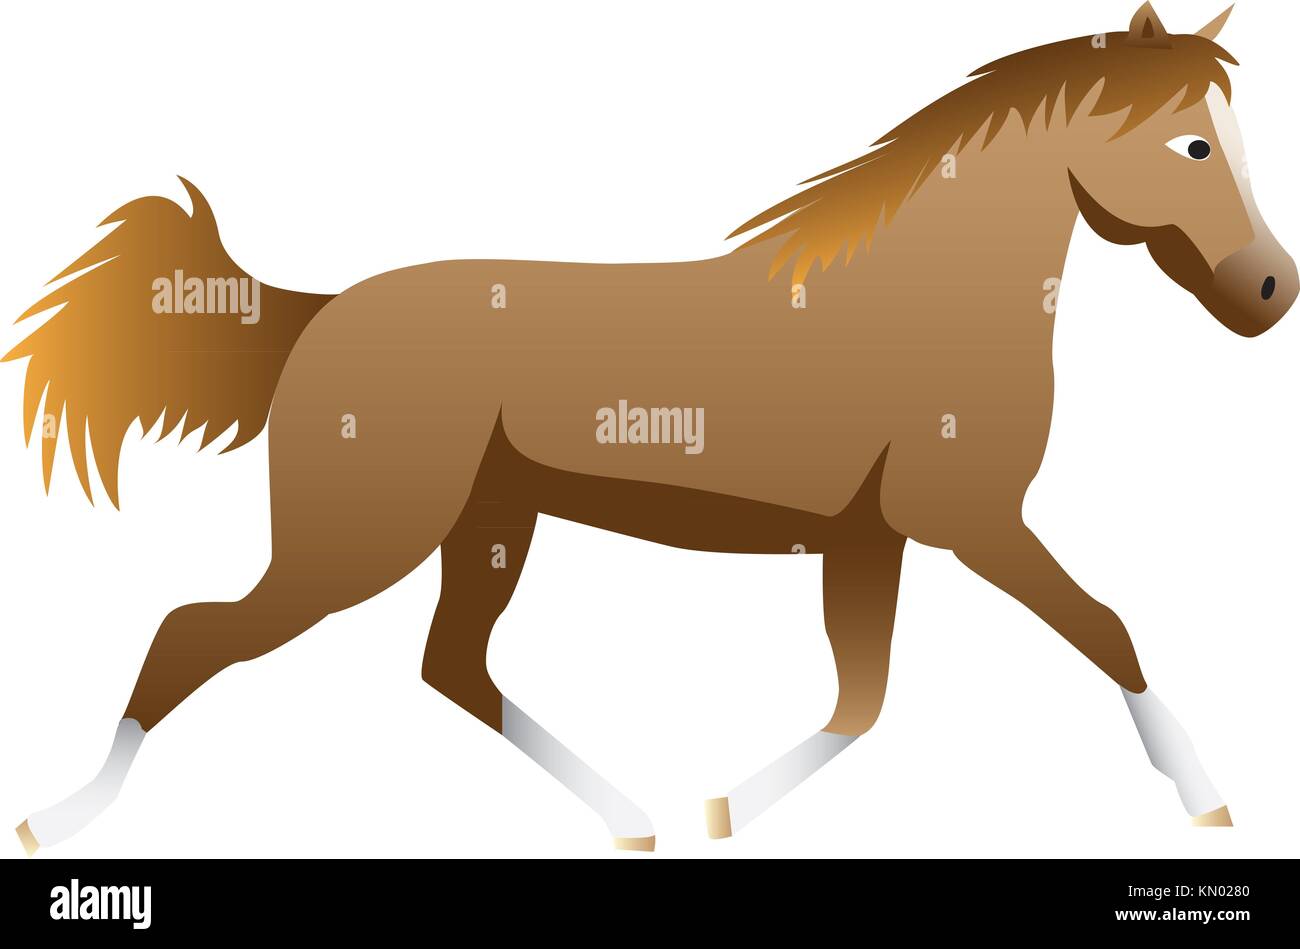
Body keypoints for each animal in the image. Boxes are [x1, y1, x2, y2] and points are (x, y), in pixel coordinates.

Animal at [9, 3, 1294, 854]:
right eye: (1192, 144)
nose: (1272, 290)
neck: (924, 298)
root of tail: (321, 311)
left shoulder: (869, 540)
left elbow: (862, 699)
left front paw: (722, 810)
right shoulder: (968, 521)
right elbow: (1105, 626)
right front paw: (1208, 797)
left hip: (489, 525)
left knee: (452, 666)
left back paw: (633, 820)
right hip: (360, 538)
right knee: (194, 629)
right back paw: (59, 816)